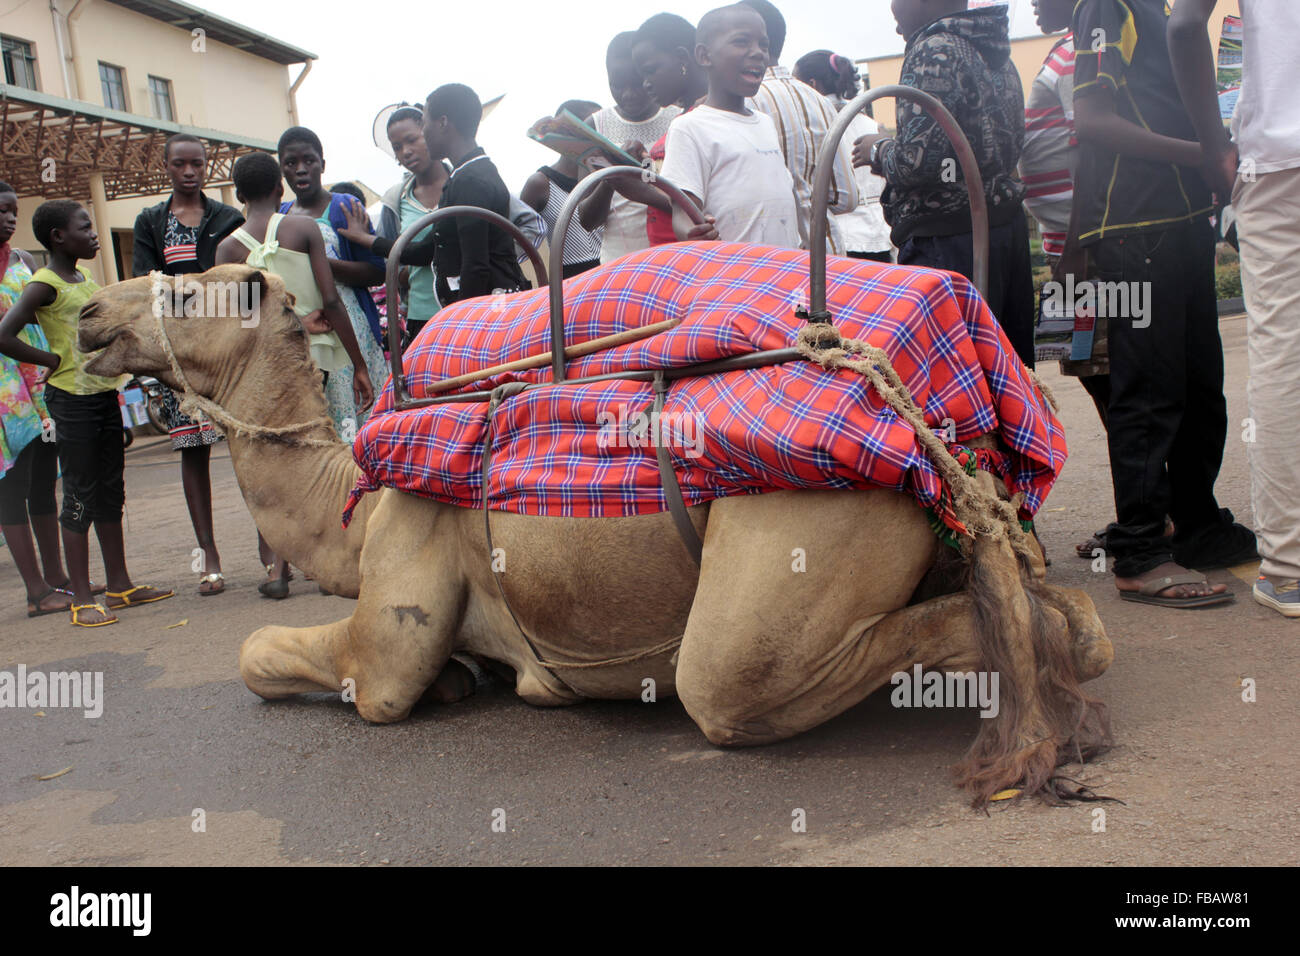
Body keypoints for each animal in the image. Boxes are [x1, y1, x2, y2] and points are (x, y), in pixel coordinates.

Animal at [81, 262, 1113, 806]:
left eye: (186, 294)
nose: (87, 310)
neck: (358, 503)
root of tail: (940, 425)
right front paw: (470, 675)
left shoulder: (394, 611)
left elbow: (288, 661)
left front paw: (450, 680)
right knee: (1069, 616)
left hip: (800, 532)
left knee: (730, 683)